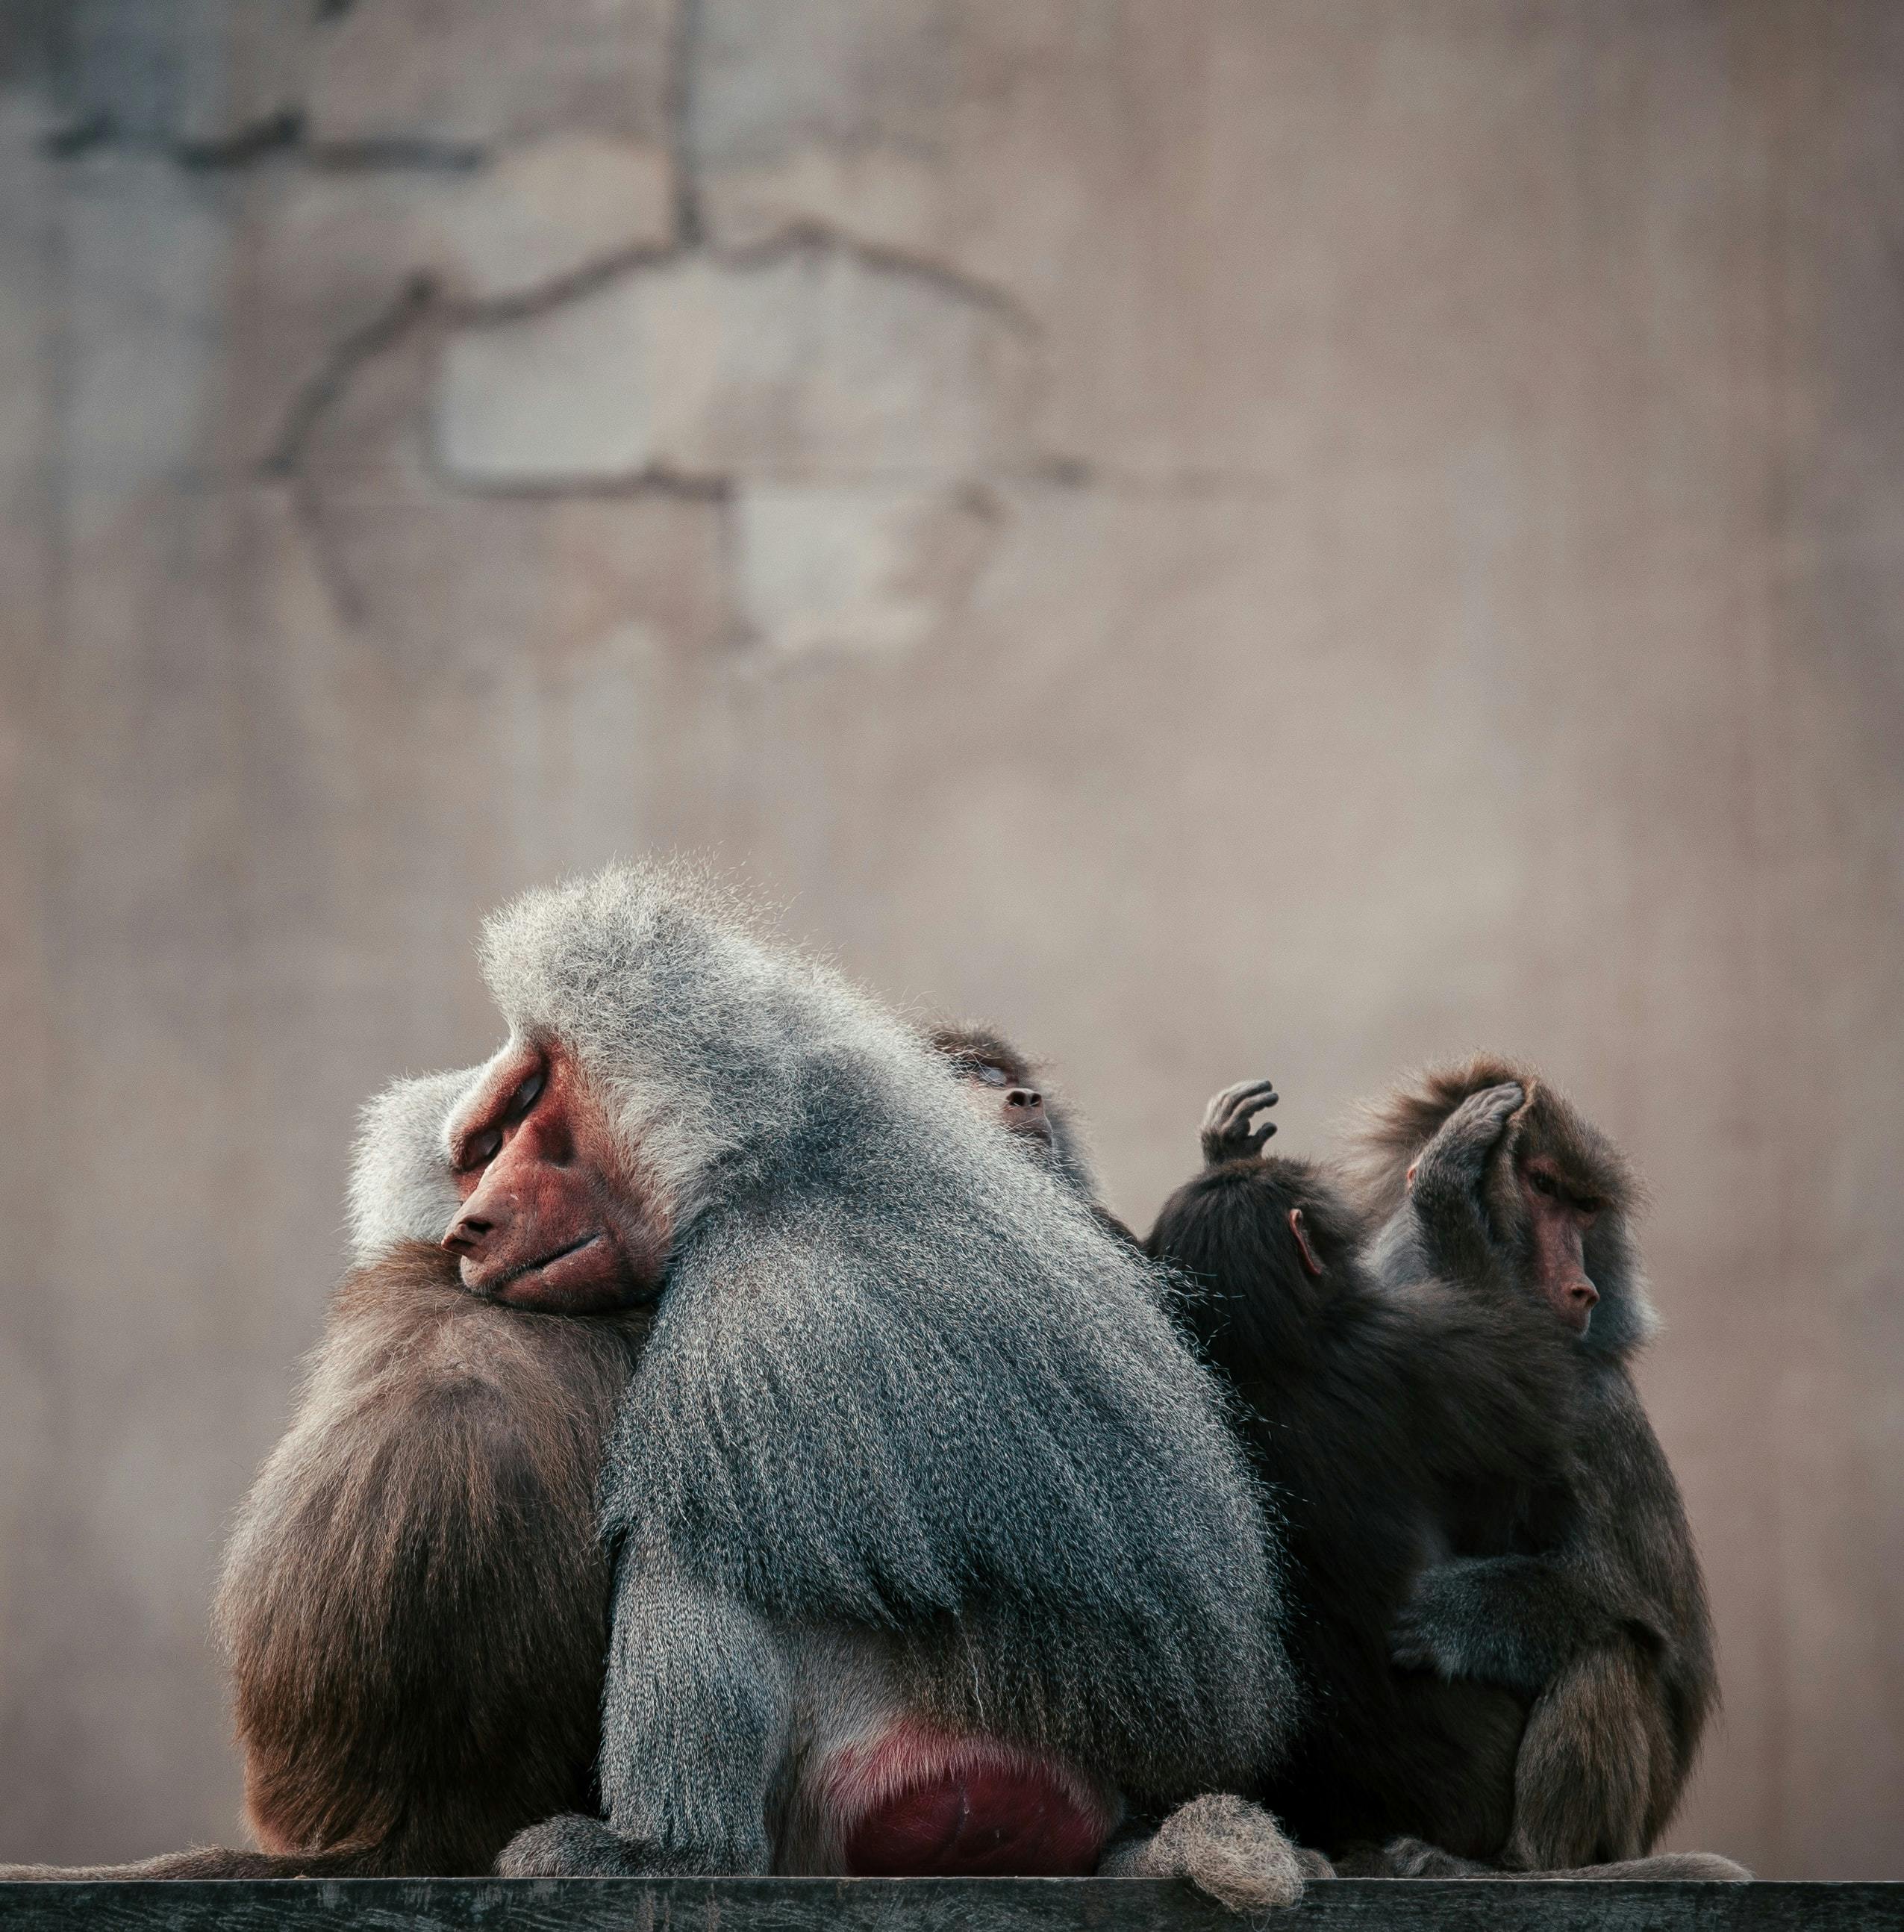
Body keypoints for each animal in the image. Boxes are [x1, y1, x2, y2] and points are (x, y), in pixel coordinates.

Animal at [405, 863, 1307, 1904]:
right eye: (487, 1139)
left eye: (528, 1112)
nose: (467, 1227)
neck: (765, 1154)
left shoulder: (764, 1310)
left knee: (702, 1541)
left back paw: (672, 1850)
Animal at [1344, 1058, 1736, 1879]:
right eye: (1544, 1186)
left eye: (1586, 1208)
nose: (1584, 1289)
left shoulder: (1591, 1410)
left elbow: (1617, 1590)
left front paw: (1449, 1614)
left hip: (1627, 1821)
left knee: (1606, 1651)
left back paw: (1514, 1864)